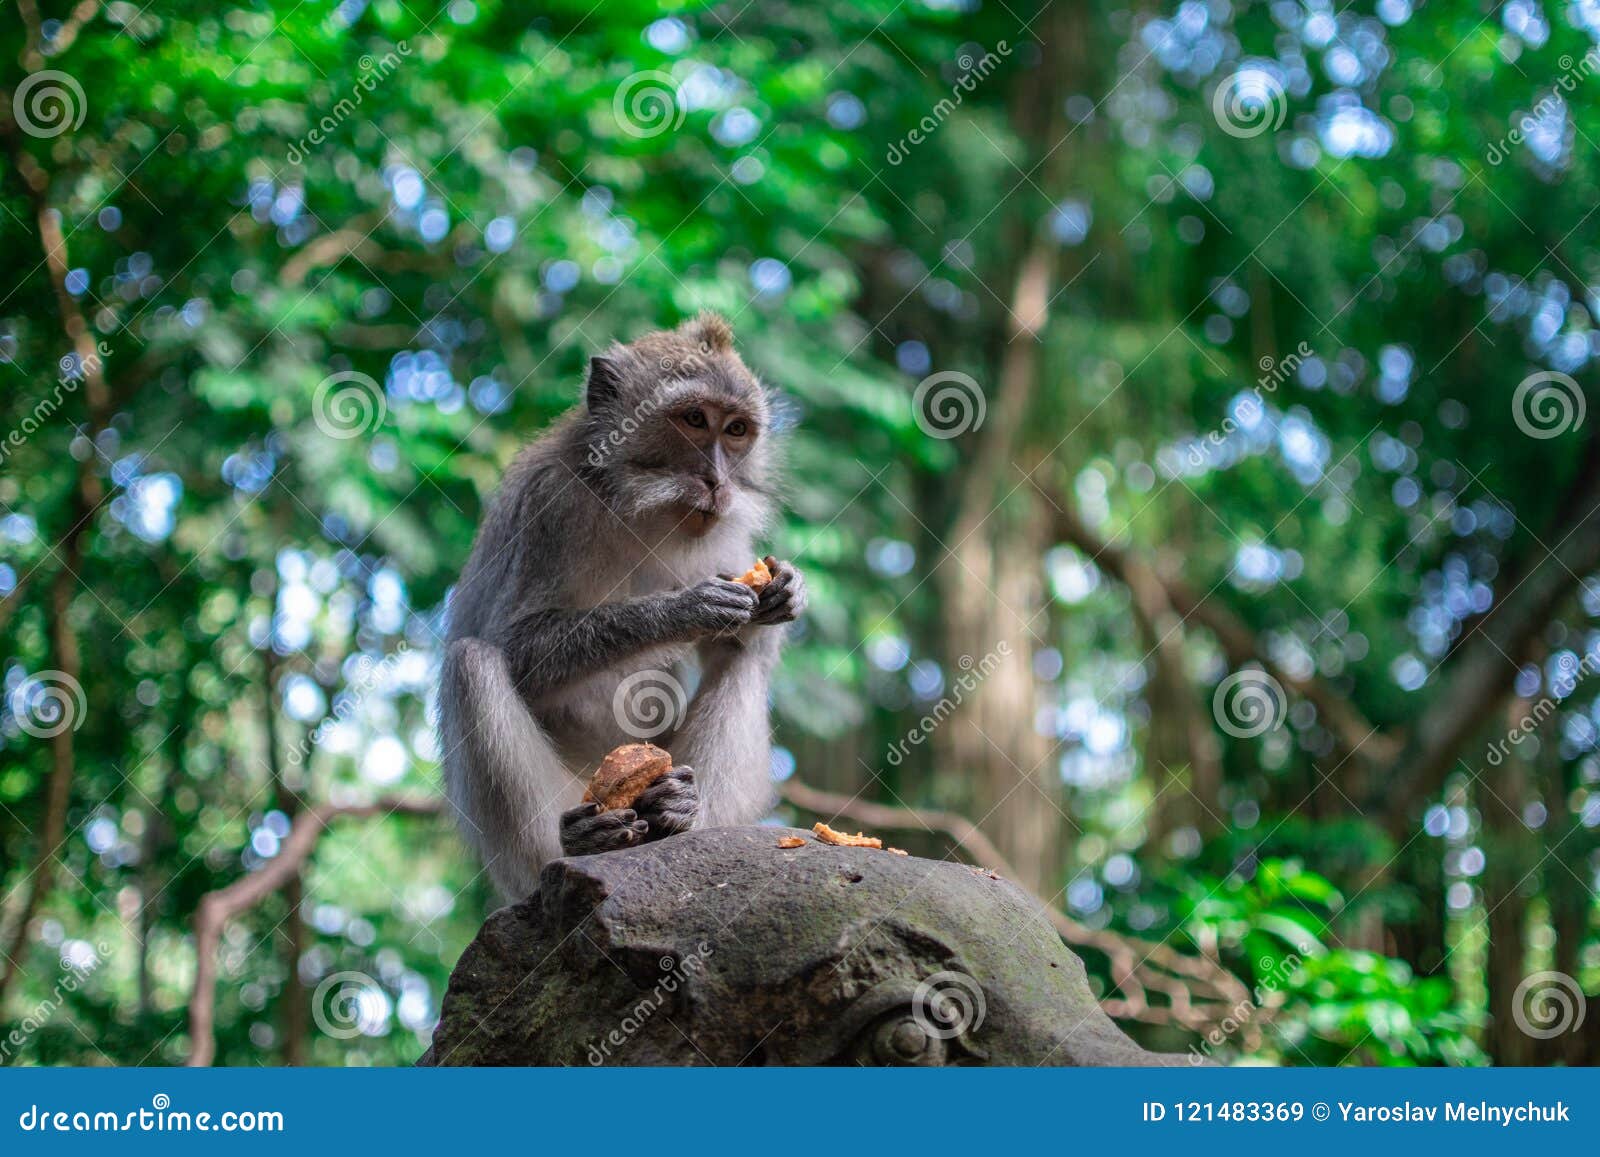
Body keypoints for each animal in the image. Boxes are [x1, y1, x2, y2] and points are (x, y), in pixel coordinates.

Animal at [438, 313, 806, 900]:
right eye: (694, 419)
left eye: (736, 430)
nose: (718, 481)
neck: (636, 503)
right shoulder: (550, 505)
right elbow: (515, 647)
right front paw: (684, 610)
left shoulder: (726, 531)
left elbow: (739, 637)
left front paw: (786, 588)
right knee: (470, 663)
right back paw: (578, 844)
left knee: (741, 659)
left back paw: (680, 812)